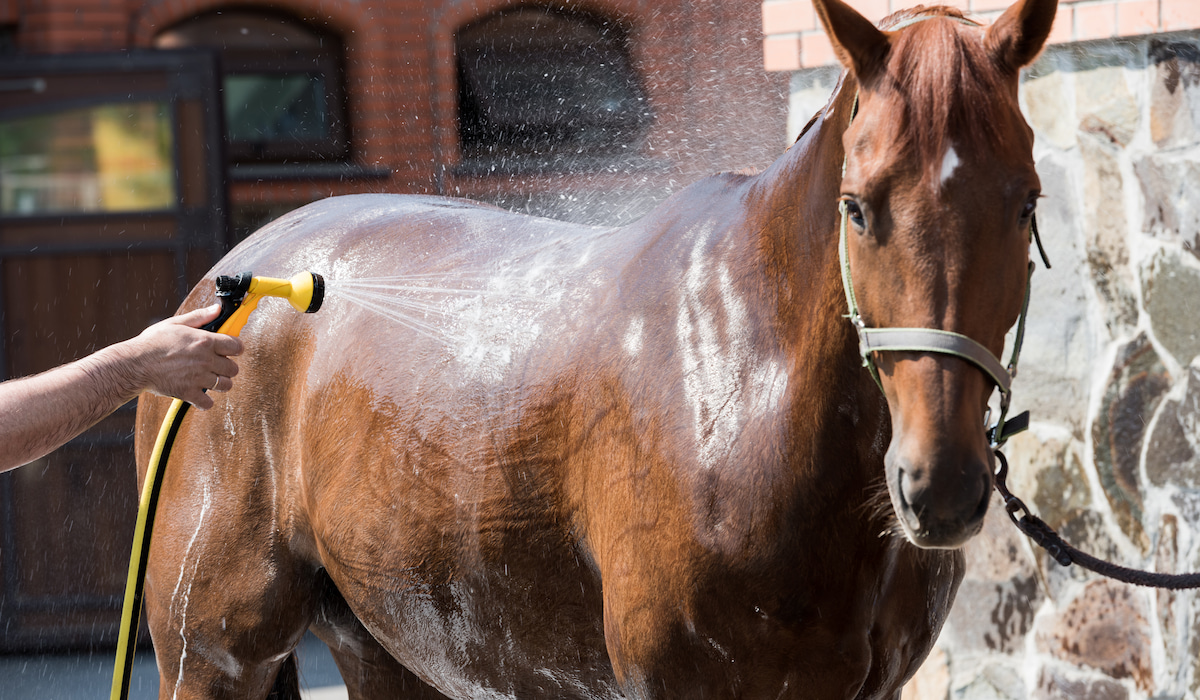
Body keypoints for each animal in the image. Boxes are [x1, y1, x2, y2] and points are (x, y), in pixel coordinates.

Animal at [134, 0, 1057, 697]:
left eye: (1025, 202)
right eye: (857, 206)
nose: (940, 485)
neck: (747, 391)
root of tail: (231, 284)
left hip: (385, 647)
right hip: (208, 655)